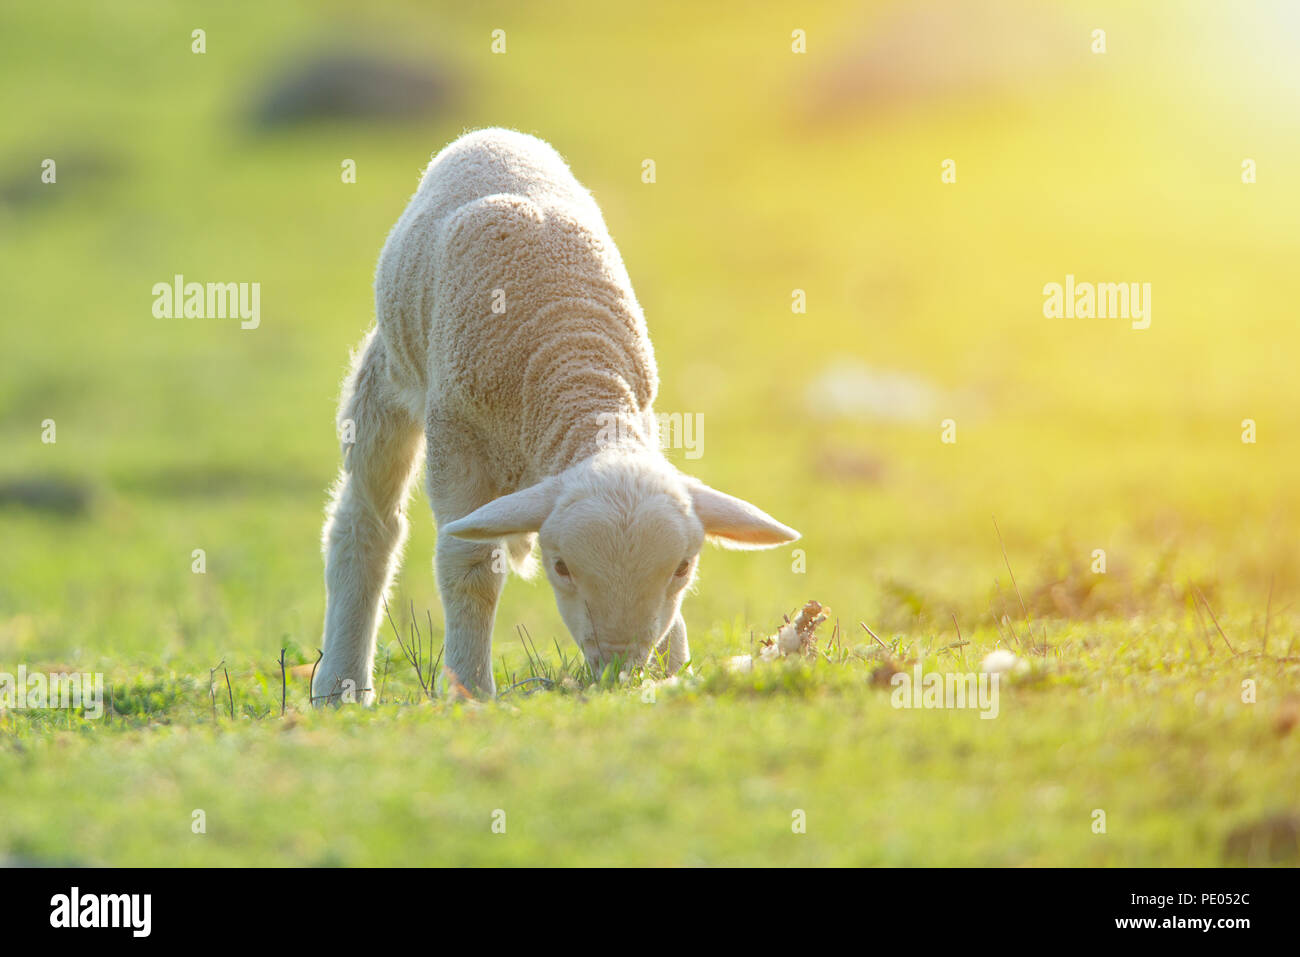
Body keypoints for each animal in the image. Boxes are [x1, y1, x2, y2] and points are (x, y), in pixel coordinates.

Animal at [313, 128, 799, 703]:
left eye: (683, 568)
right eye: (562, 567)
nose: (618, 669)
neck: (572, 366)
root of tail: (493, 137)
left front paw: (673, 667)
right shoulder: (456, 432)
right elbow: (470, 568)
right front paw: (470, 691)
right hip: (387, 375)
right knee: (366, 527)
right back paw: (339, 686)